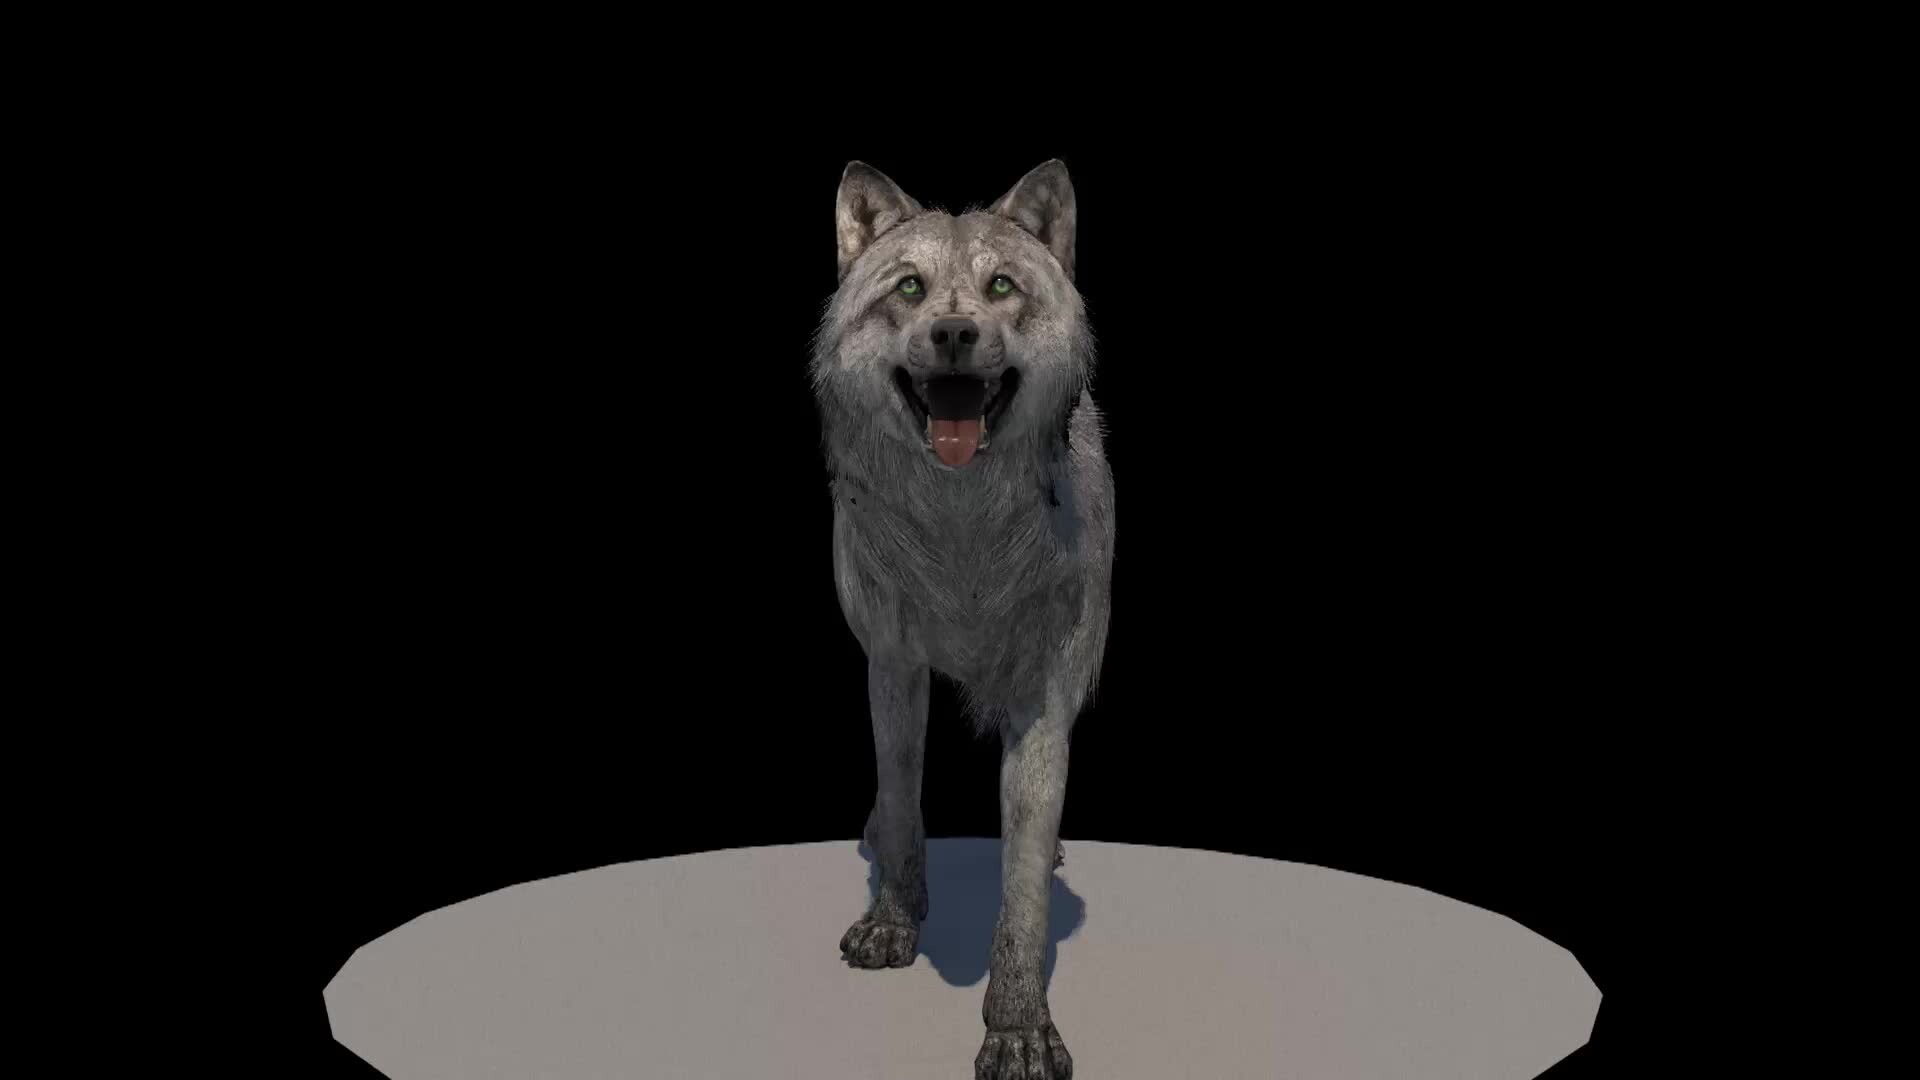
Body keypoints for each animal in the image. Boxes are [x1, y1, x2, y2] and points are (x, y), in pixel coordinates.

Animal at [811, 159, 1112, 1079]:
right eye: (910, 287)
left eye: (1001, 286)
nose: (952, 333)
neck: (964, 533)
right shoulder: (893, 664)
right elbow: (905, 794)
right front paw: (893, 921)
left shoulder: (1045, 694)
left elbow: (1022, 878)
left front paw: (1017, 1029)